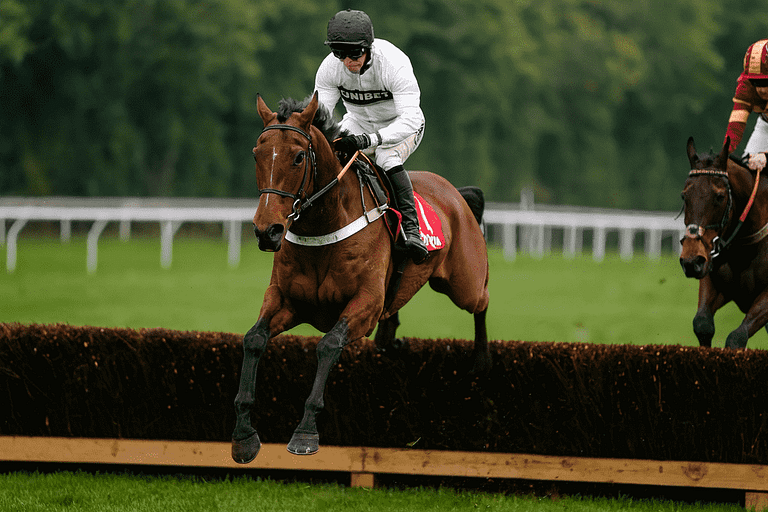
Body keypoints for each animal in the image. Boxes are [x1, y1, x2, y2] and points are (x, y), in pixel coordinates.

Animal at [231, 92, 491, 463]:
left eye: (298, 157)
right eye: (257, 154)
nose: (267, 231)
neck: (324, 226)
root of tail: (455, 193)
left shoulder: (364, 305)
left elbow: (328, 345)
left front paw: (305, 432)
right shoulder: (286, 299)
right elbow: (253, 339)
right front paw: (243, 435)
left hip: (462, 281)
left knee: (481, 300)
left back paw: (480, 362)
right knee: (394, 314)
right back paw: (391, 343)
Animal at [680, 136, 768, 349]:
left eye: (720, 196)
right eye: (684, 195)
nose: (691, 261)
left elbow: (737, 337)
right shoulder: (713, 277)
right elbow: (702, 324)